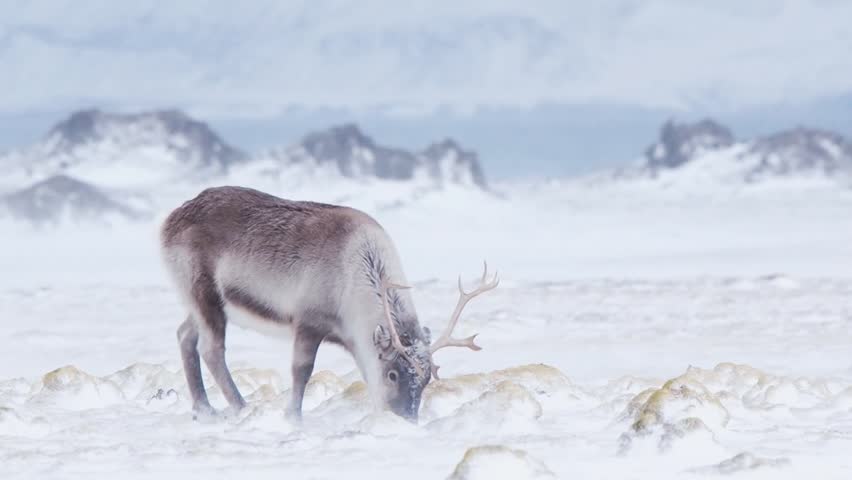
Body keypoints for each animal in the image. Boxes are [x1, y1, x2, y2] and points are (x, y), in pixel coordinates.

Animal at [160, 186, 498, 422]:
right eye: (393, 374)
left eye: (427, 378)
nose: (406, 419)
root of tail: (169, 221)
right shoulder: (309, 321)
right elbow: (301, 371)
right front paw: (293, 418)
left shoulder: (354, 340)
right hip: (205, 295)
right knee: (211, 349)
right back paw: (240, 406)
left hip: (199, 304)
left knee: (184, 335)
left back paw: (203, 408)